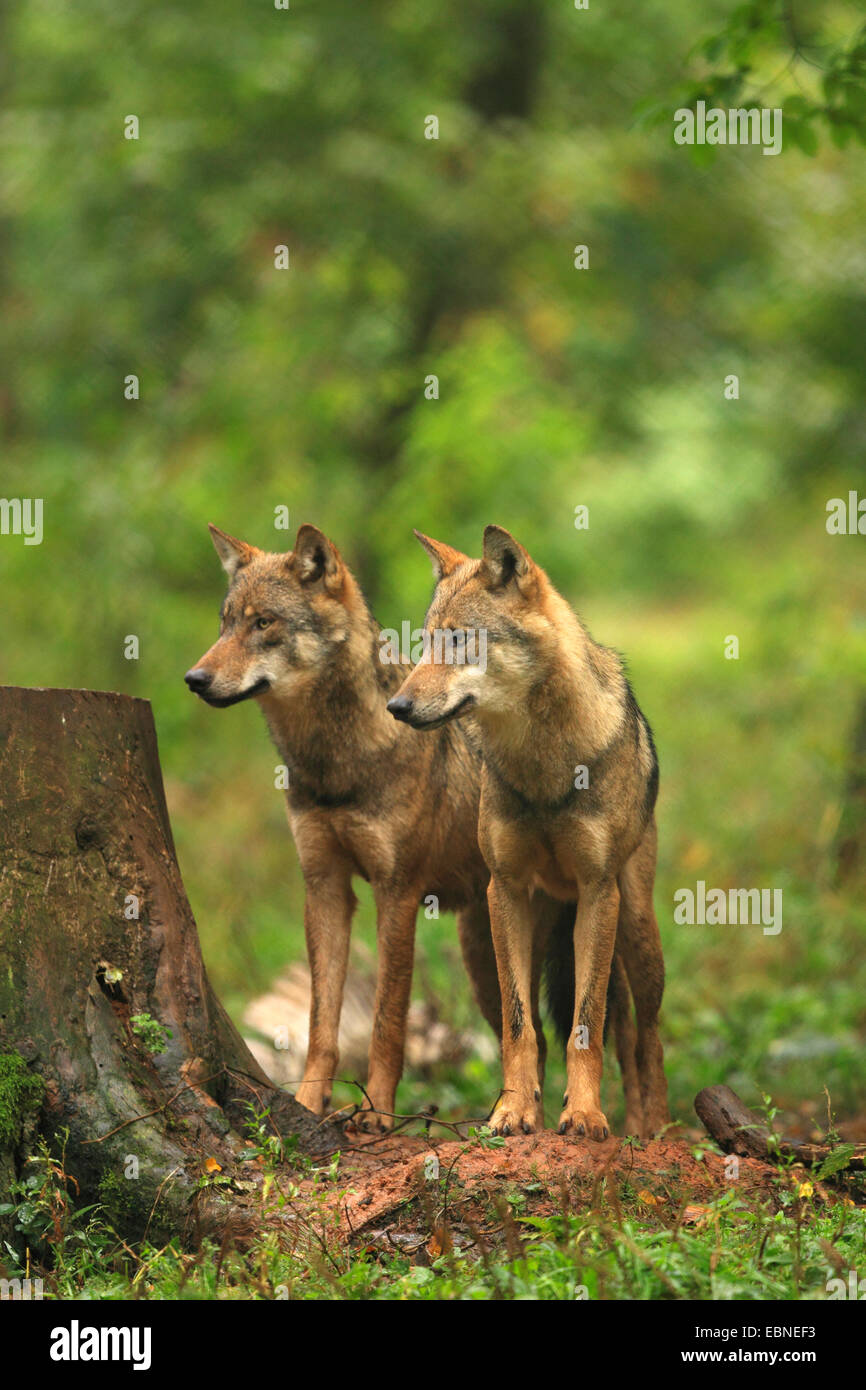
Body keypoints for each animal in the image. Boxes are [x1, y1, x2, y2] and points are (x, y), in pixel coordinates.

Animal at [387, 526, 669, 1141]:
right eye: (425, 643)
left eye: (461, 641)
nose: (396, 705)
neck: (541, 765)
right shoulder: (507, 889)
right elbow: (522, 1029)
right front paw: (514, 1113)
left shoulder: (597, 891)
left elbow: (587, 1025)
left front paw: (584, 1115)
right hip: (483, 952)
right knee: (529, 1031)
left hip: (636, 931)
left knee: (643, 1035)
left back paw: (653, 1126)